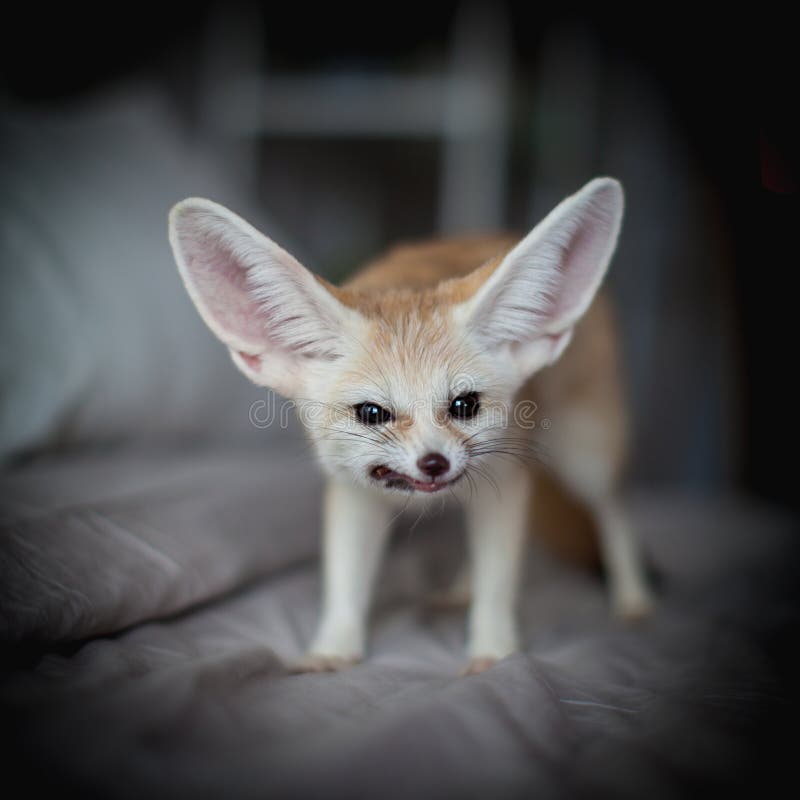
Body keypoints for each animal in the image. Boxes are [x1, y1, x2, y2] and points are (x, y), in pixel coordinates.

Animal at [168, 177, 654, 676]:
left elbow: (498, 584)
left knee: (613, 510)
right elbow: (345, 583)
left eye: (464, 405)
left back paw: (633, 598)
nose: (434, 462)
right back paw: (461, 588)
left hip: (586, 458)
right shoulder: (355, 493)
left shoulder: (506, 480)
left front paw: (494, 653)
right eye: (372, 413)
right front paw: (333, 650)